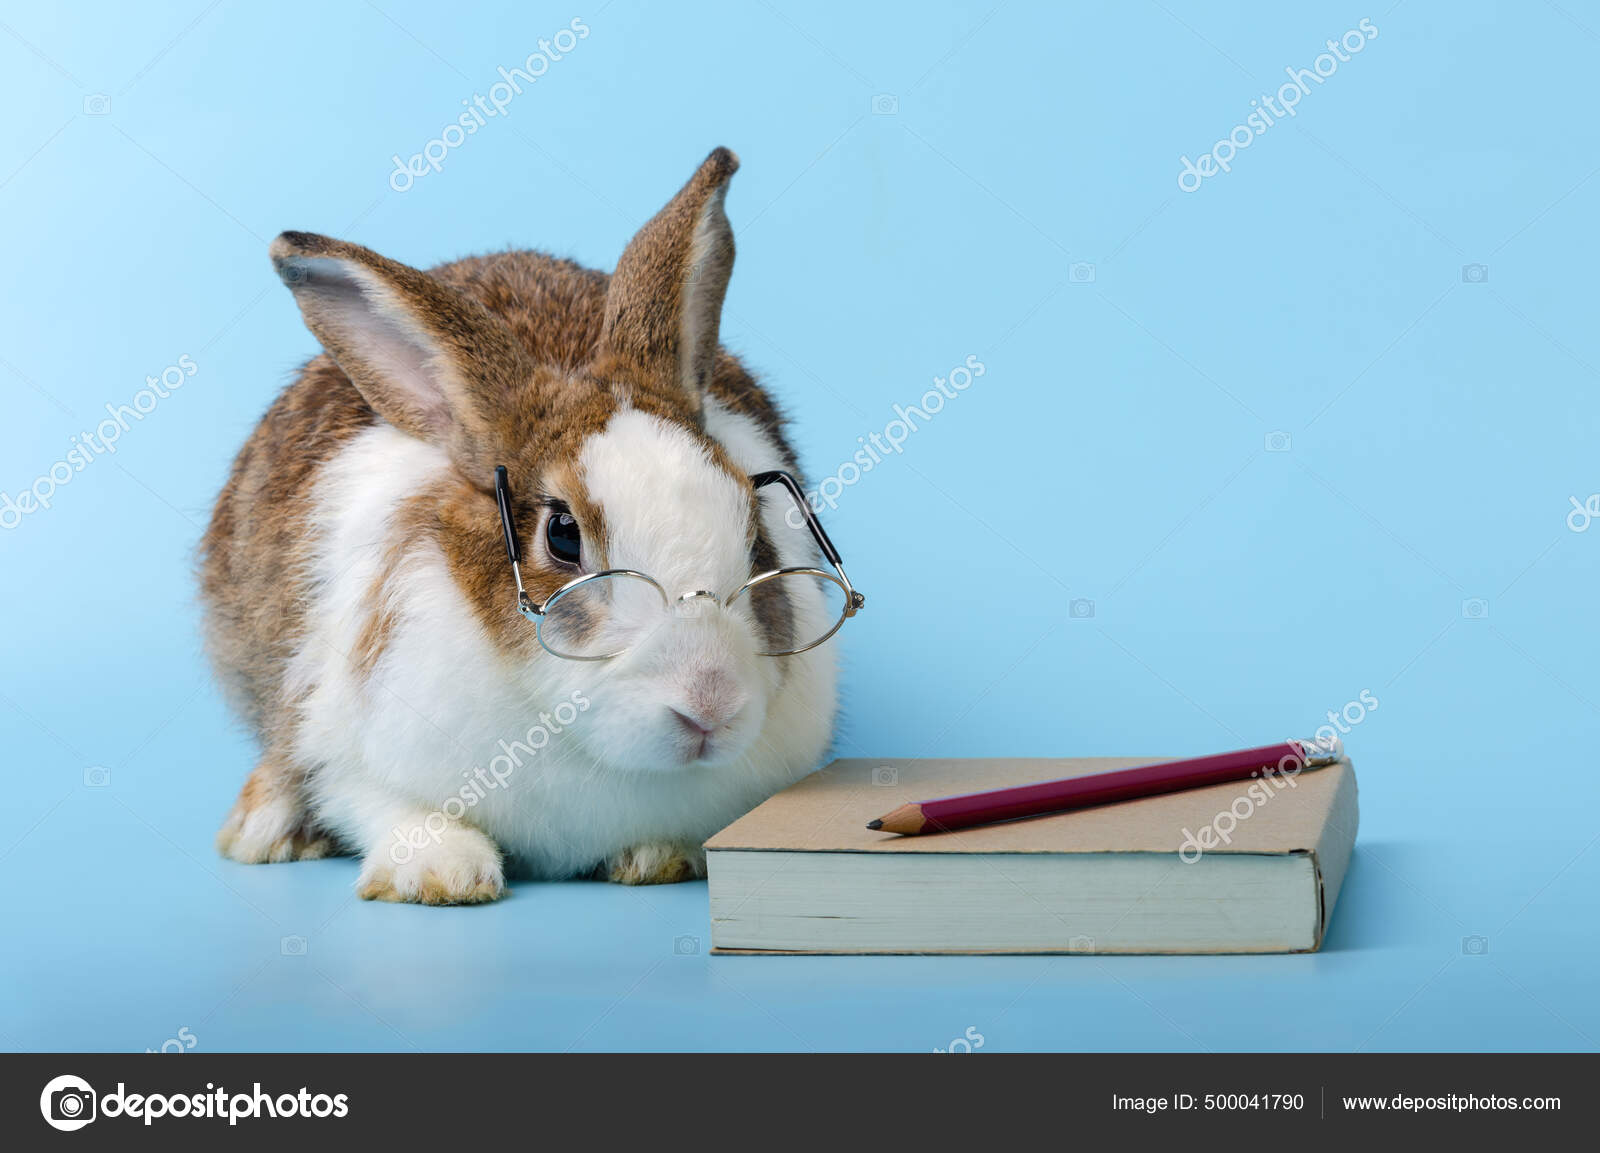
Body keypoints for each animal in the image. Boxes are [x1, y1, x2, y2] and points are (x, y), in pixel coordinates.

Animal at [201, 148, 845, 904]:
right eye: (562, 536)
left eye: (755, 532)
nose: (709, 705)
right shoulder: (345, 747)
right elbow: (379, 802)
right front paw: (442, 873)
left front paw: (658, 858)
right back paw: (264, 832)